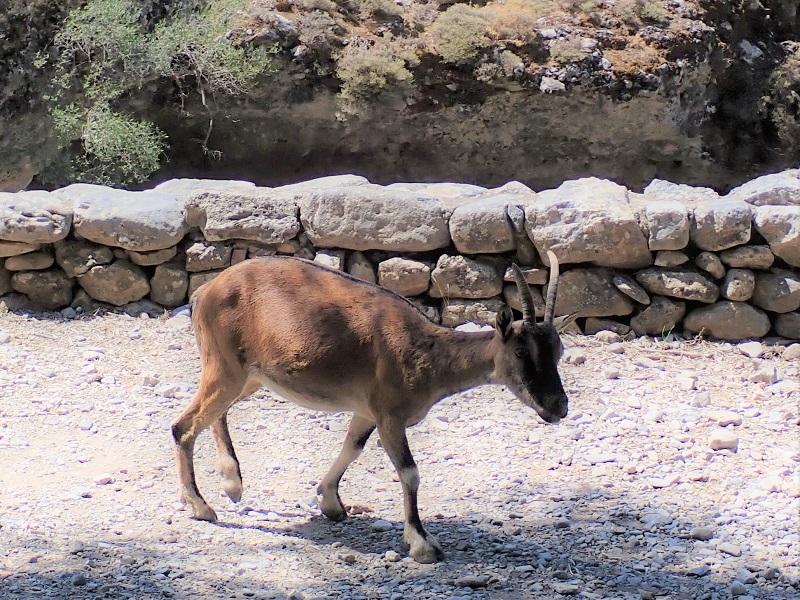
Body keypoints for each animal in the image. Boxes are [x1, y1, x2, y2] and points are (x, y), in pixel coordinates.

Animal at [172, 252, 570, 563]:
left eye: (558, 351)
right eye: (522, 352)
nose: (559, 407)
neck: (427, 353)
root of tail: (205, 292)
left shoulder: (366, 411)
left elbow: (353, 447)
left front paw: (330, 503)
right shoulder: (390, 415)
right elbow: (409, 472)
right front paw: (423, 543)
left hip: (248, 376)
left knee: (214, 415)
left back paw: (232, 482)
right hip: (227, 369)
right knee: (184, 426)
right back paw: (202, 506)